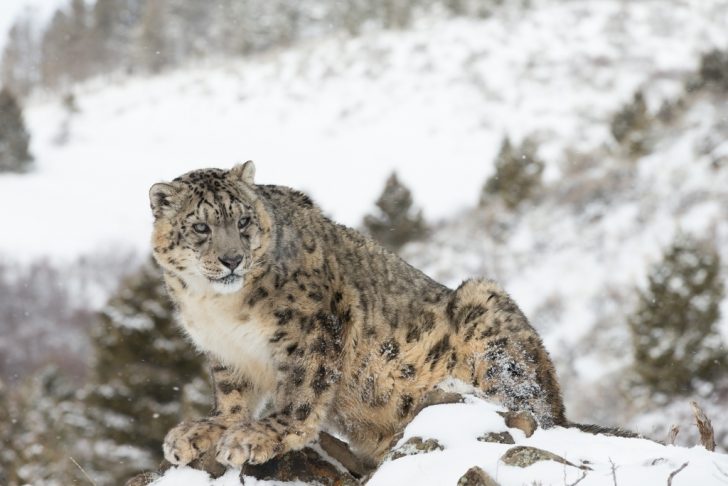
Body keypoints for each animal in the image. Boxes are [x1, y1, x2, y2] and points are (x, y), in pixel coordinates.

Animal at [149, 161, 569, 473]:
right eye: (200, 226)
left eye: (243, 221)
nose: (232, 258)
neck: (218, 308)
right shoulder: (226, 352)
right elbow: (231, 396)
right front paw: (205, 430)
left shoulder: (313, 326)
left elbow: (303, 389)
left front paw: (259, 436)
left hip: (486, 311)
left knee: (527, 406)